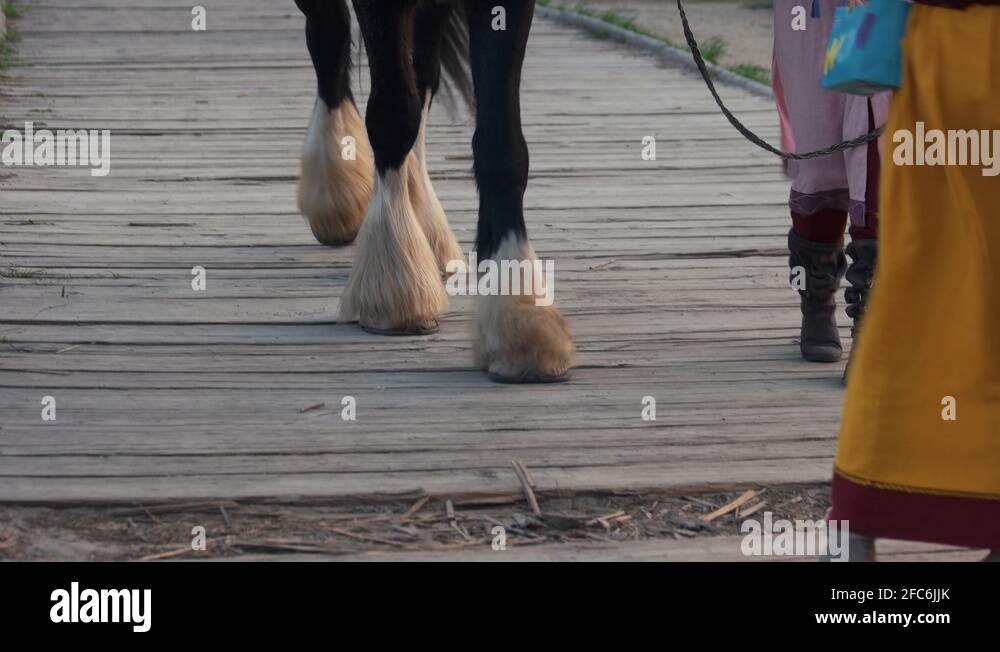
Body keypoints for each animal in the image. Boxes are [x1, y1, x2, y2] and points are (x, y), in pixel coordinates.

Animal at [292, 0, 574, 383]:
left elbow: (501, 145)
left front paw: (520, 315)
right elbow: (394, 115)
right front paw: (397, 289)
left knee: (423, 72)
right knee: (328, 32)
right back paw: (337, 193)